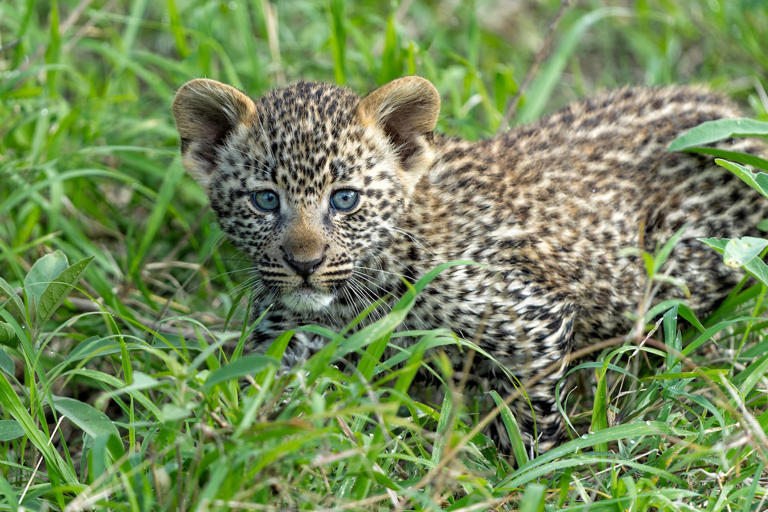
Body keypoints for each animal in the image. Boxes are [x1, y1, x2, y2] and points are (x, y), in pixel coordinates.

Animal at [171, 75, 767, 451]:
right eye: (264, 200)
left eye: (345, 199)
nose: (305, 263)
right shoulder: (286, 329)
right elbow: (252, 381)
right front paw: (226, 429)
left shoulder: (532, 317)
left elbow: (528, 413)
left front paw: (526, 470)